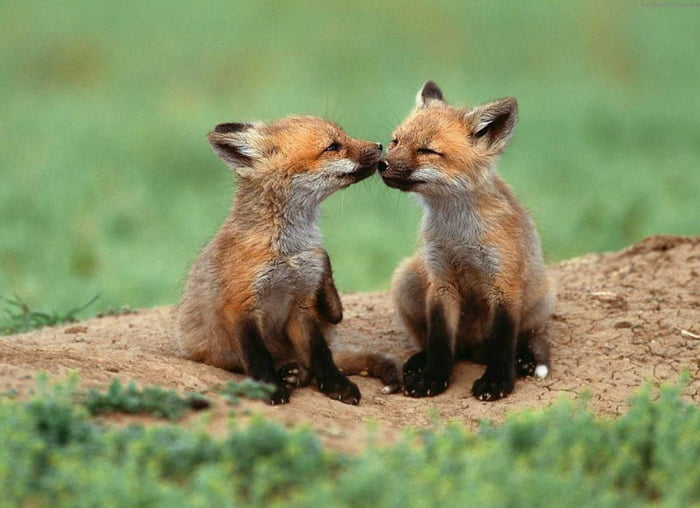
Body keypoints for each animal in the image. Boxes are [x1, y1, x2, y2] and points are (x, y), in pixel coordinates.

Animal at [176, 116, 400, 405]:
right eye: (332, 146)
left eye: (344, 136)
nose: (380, 145)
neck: (288, 251)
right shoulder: (241, 306)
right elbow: (257, 356)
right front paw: (269, 388)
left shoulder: (301, 303)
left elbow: (320, 353)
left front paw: (336, 384)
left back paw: (297, 372)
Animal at [378, 81, 555, 401]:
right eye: (395, 141)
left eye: (427, 150)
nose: (380, 163)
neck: (458, 234)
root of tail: (473, 347)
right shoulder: (441, 279)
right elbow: (439, 340)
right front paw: (433, 377)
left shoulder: (504, 283)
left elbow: (502, 342)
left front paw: (497, 382)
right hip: (406, 277)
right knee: (447, 347)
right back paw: (420, 360)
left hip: (541, 296)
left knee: (524, 337)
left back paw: (522, 358)